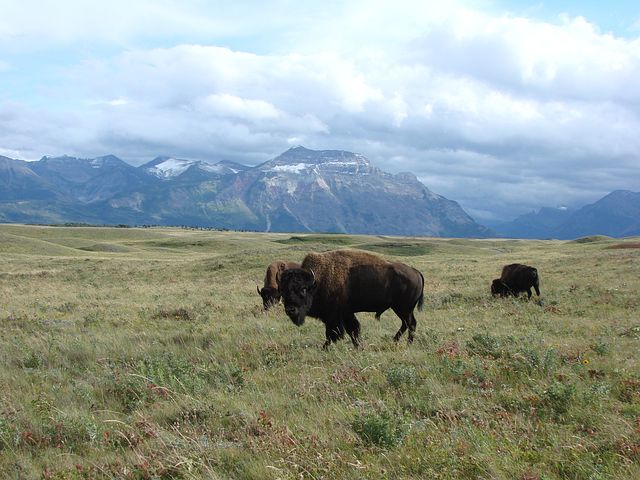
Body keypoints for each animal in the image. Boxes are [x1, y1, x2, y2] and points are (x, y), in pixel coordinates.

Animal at [279, 249, 424, 349]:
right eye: (284, 291)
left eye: (303, 289)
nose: (290, 310)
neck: (317, 282)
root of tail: (415, 271)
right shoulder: (346, 314)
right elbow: (353, 330)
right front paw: (357, 346)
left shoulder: (335, 316)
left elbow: (334, 333)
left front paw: (325, 347)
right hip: (403, 309)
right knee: (407, 324)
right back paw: (396, 341)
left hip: (403, 308)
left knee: (410, 323)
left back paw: (407, 343)